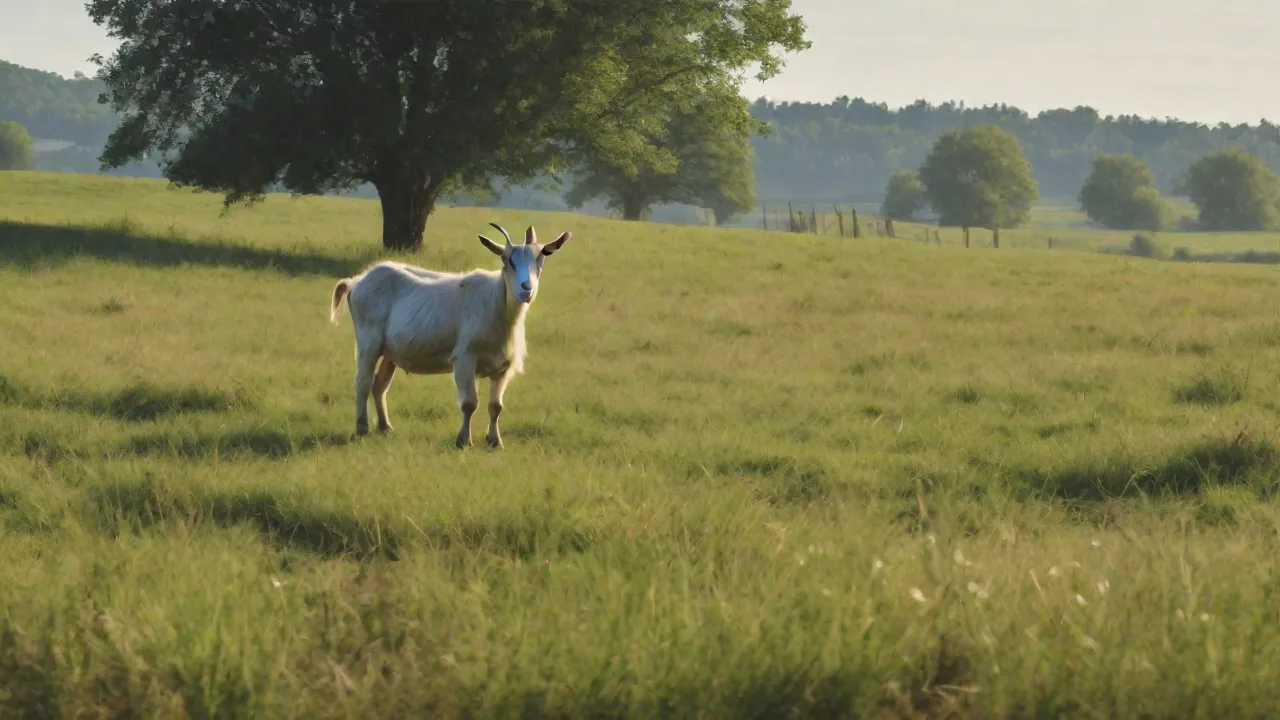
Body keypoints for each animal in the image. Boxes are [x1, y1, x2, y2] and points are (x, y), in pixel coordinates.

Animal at [329, 223, 571, 448]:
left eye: (541, 258)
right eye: (506, 260)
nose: (526, 288)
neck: (496, 302)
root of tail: (357, 281)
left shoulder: (503, 366)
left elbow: (496, 407)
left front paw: (495, 441)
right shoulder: (465, 357)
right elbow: (469, 403)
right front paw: (463, 441)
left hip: (391, 352)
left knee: (379, 385)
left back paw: (386, 427)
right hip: (368, 340)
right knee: (362, 381)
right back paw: (362, 428)